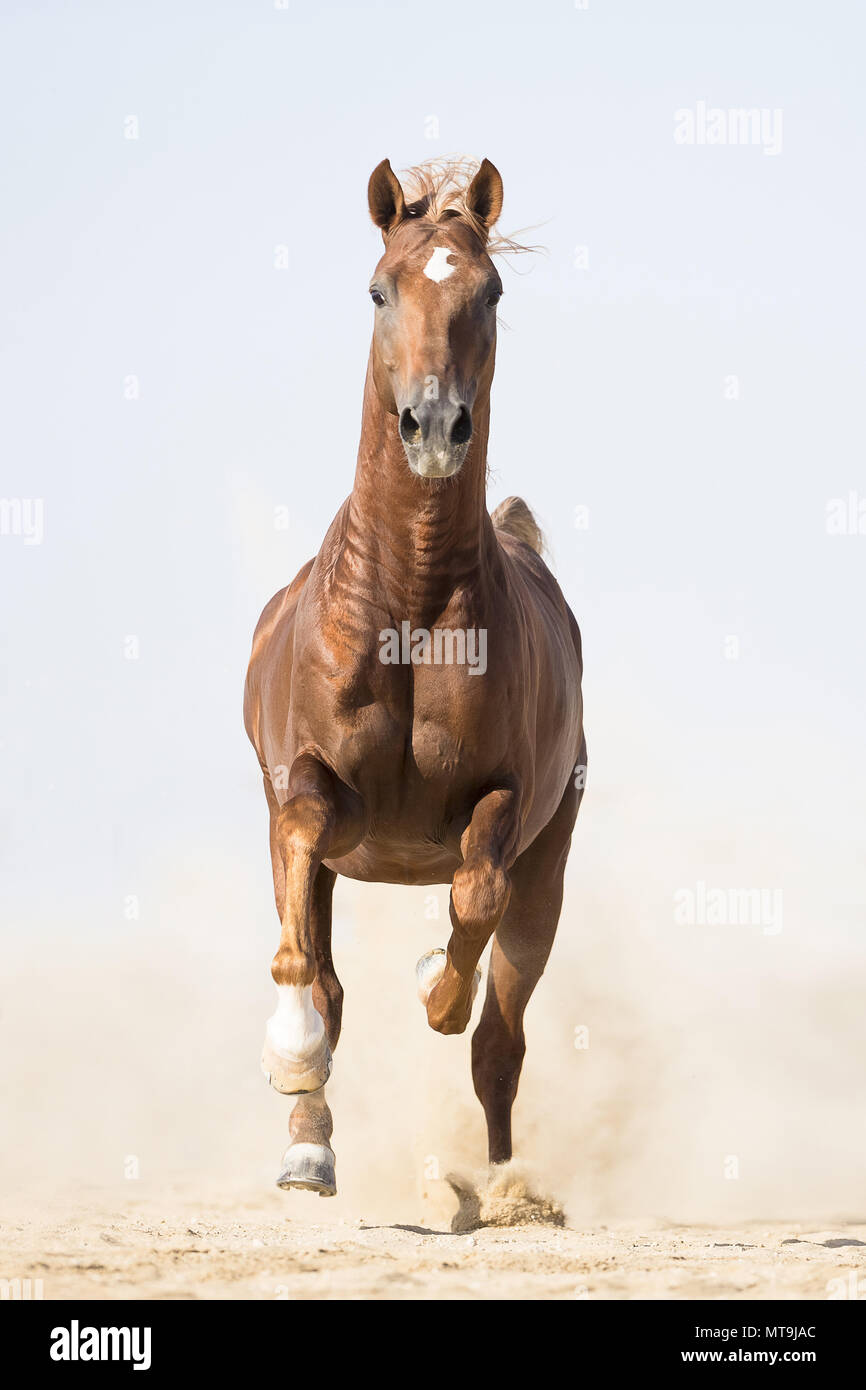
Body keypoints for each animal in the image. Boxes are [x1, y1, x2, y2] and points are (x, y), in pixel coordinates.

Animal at [244, 157, 586, 1197]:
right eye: (379, 289)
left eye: (492, 290)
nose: (434, 424)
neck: (410, 604)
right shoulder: (308, 791)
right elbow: (304, 943)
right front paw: (293, 1068)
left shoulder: (508, 798)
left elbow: (474, 903)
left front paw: (437, 982)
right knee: (325, 969)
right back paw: (309, 1144)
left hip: (553, 865)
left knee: (501, 1037)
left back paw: (505, 1187)